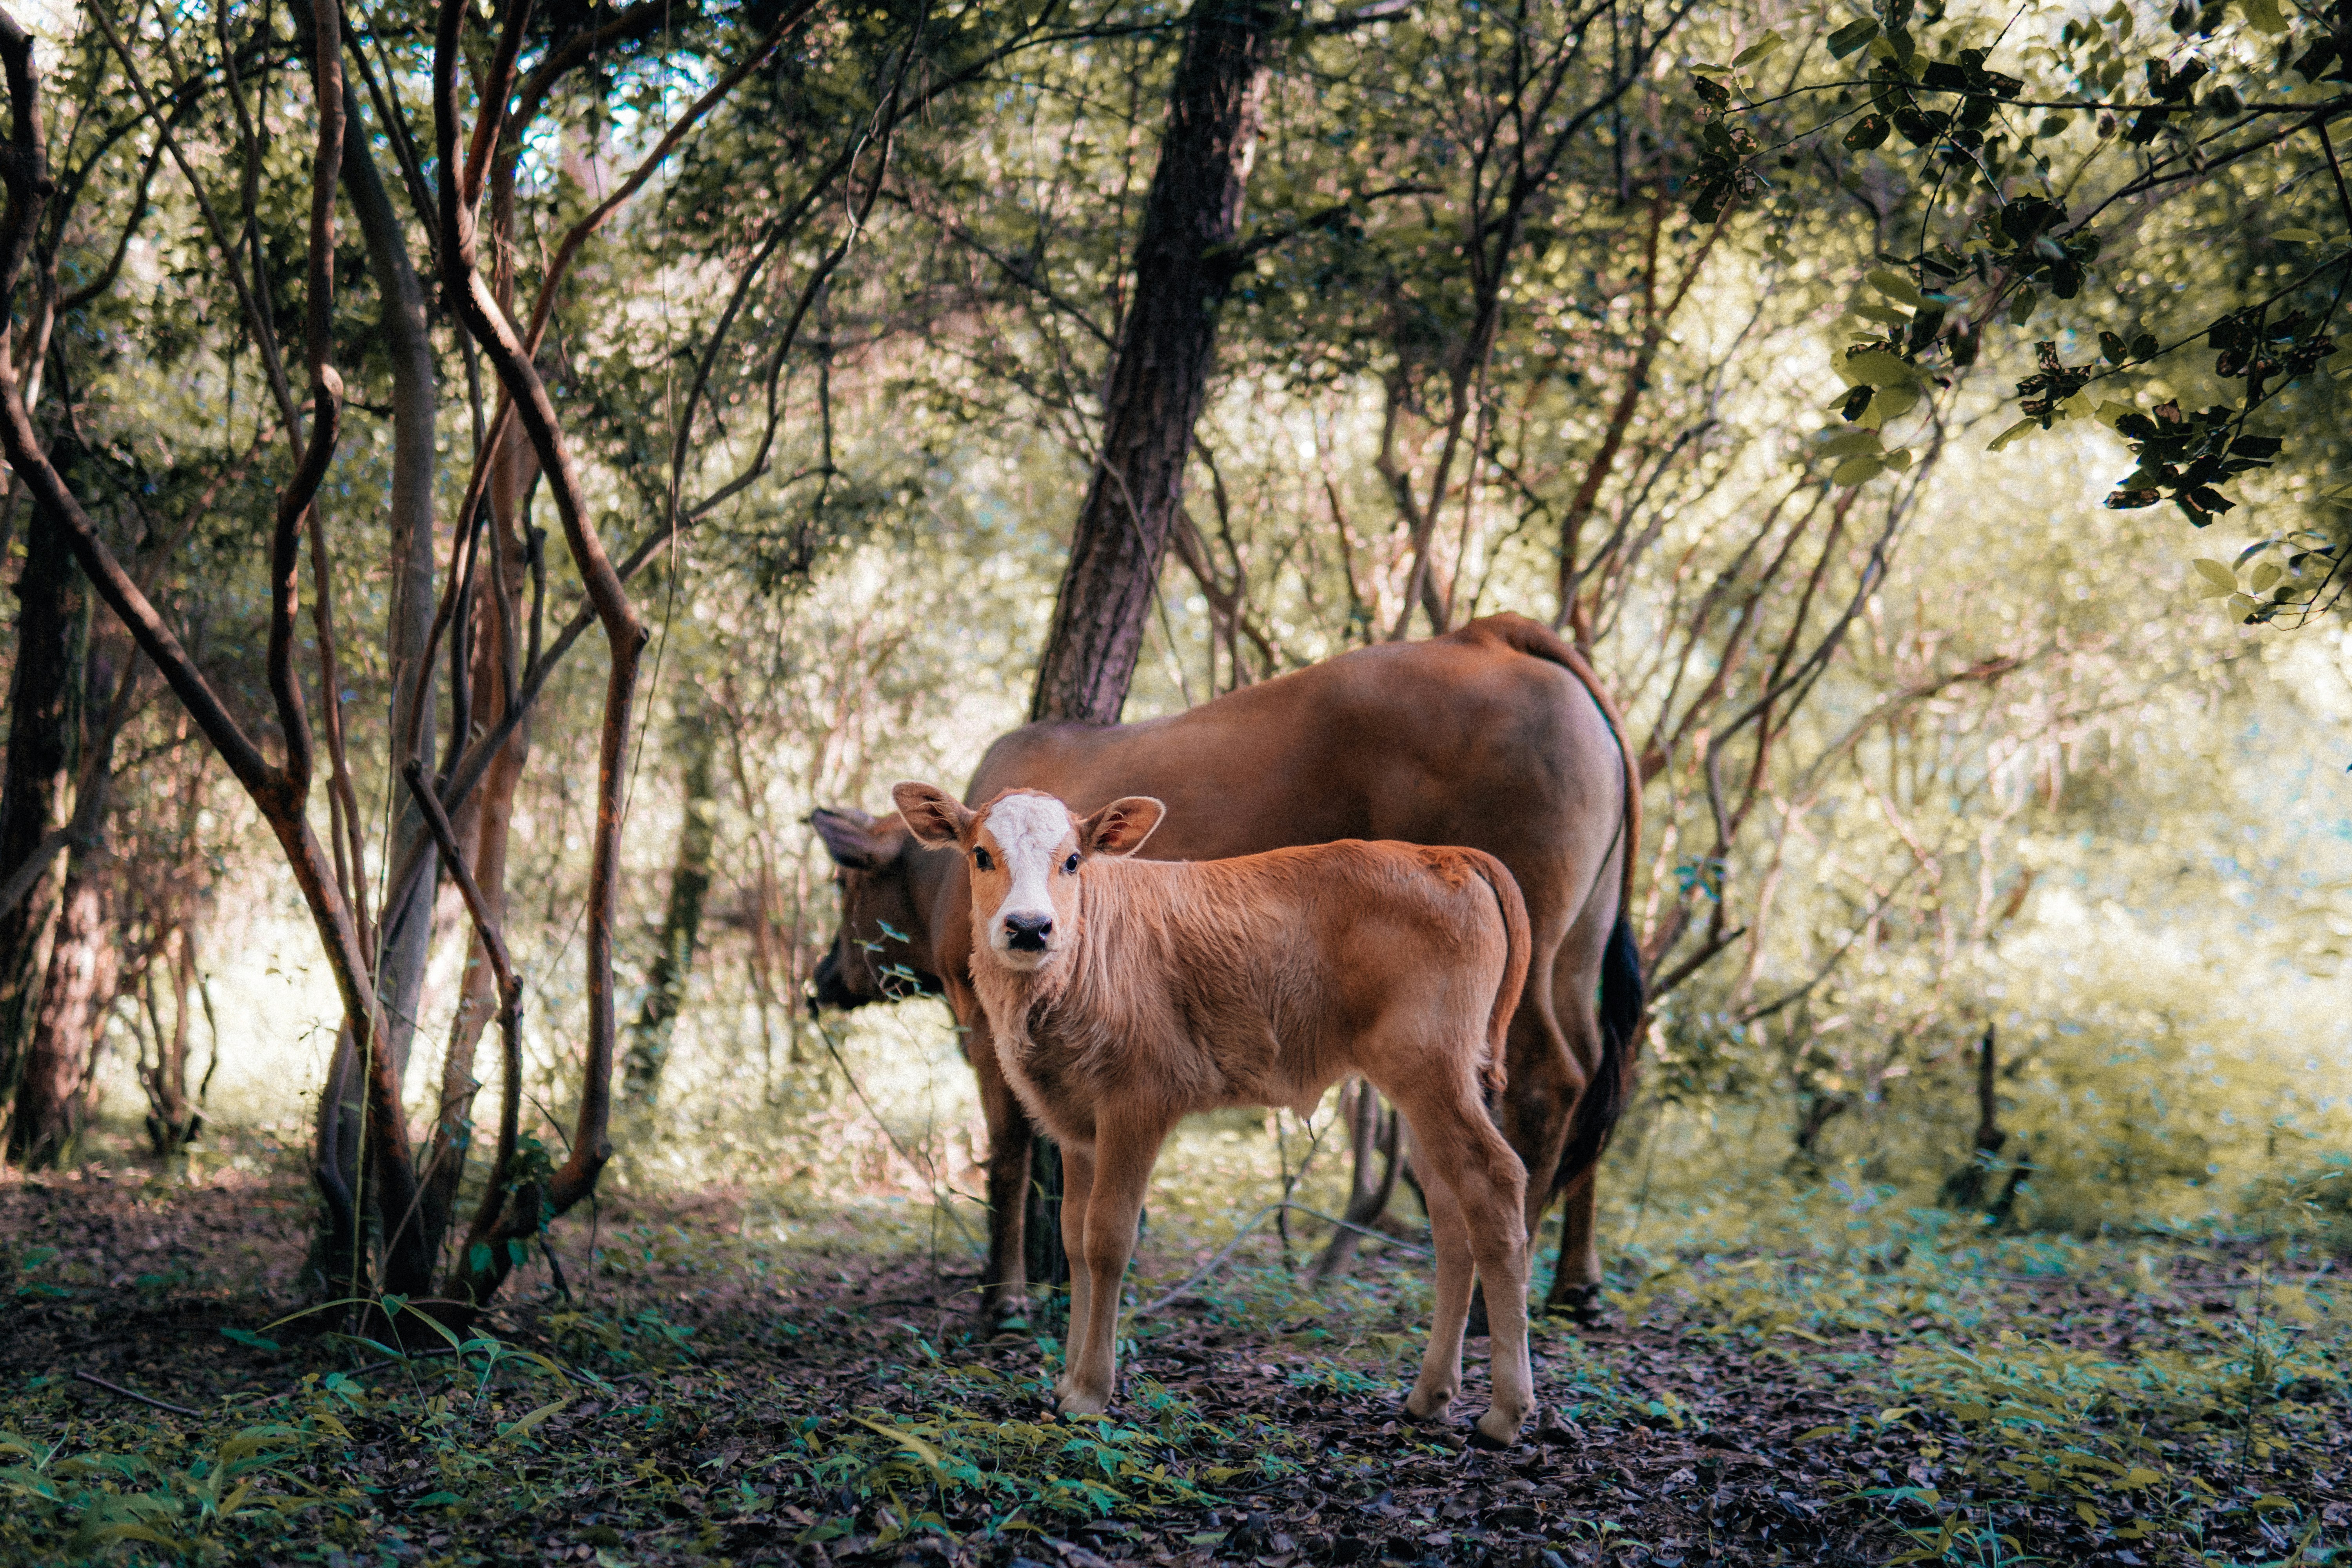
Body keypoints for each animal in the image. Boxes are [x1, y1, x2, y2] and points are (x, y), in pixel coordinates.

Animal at [811, 612, 1641, 1322]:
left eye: (841, 884)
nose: (821, 977)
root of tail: (1488, 635)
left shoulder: (986, 1018)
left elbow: (1010, 1151)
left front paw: (1002, 1297)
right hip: (1574, 952)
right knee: (1604, 1072)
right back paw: (1577, 1283)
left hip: (1516, 964)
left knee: (1547, 1085)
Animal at [892, 781, 1540, 1446]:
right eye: (980, 856)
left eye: (1072, 861)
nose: (1029, 928)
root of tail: (1445, 854)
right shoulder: (1075, 1123)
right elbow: (1073, 1237)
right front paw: (1067, 1380)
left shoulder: (1137, 1101)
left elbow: (1108, 1238)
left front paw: (1092, 1392)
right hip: (1418, 1084)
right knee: (1449, 1209)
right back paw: (1429, 1395)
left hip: (1432, 1069)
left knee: (1495, 1183)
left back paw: (1505, 1412)